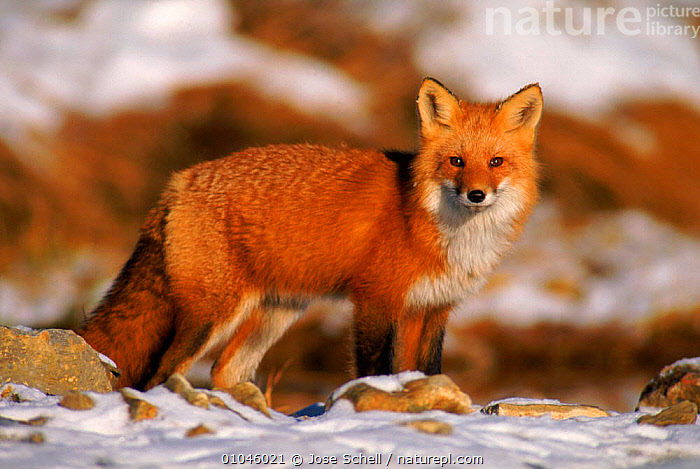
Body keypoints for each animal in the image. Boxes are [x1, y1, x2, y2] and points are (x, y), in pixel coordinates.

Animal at [79, 78, 542, 391]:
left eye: (496, 162)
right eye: (456, 161)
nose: (477, 194)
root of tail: (182, 179)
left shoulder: (433, 310)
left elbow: (428, 373)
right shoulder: (376, 302)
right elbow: (376, 371)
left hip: (275, 312)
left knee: (225, 371)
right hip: (213, 314)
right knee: (162, 373)